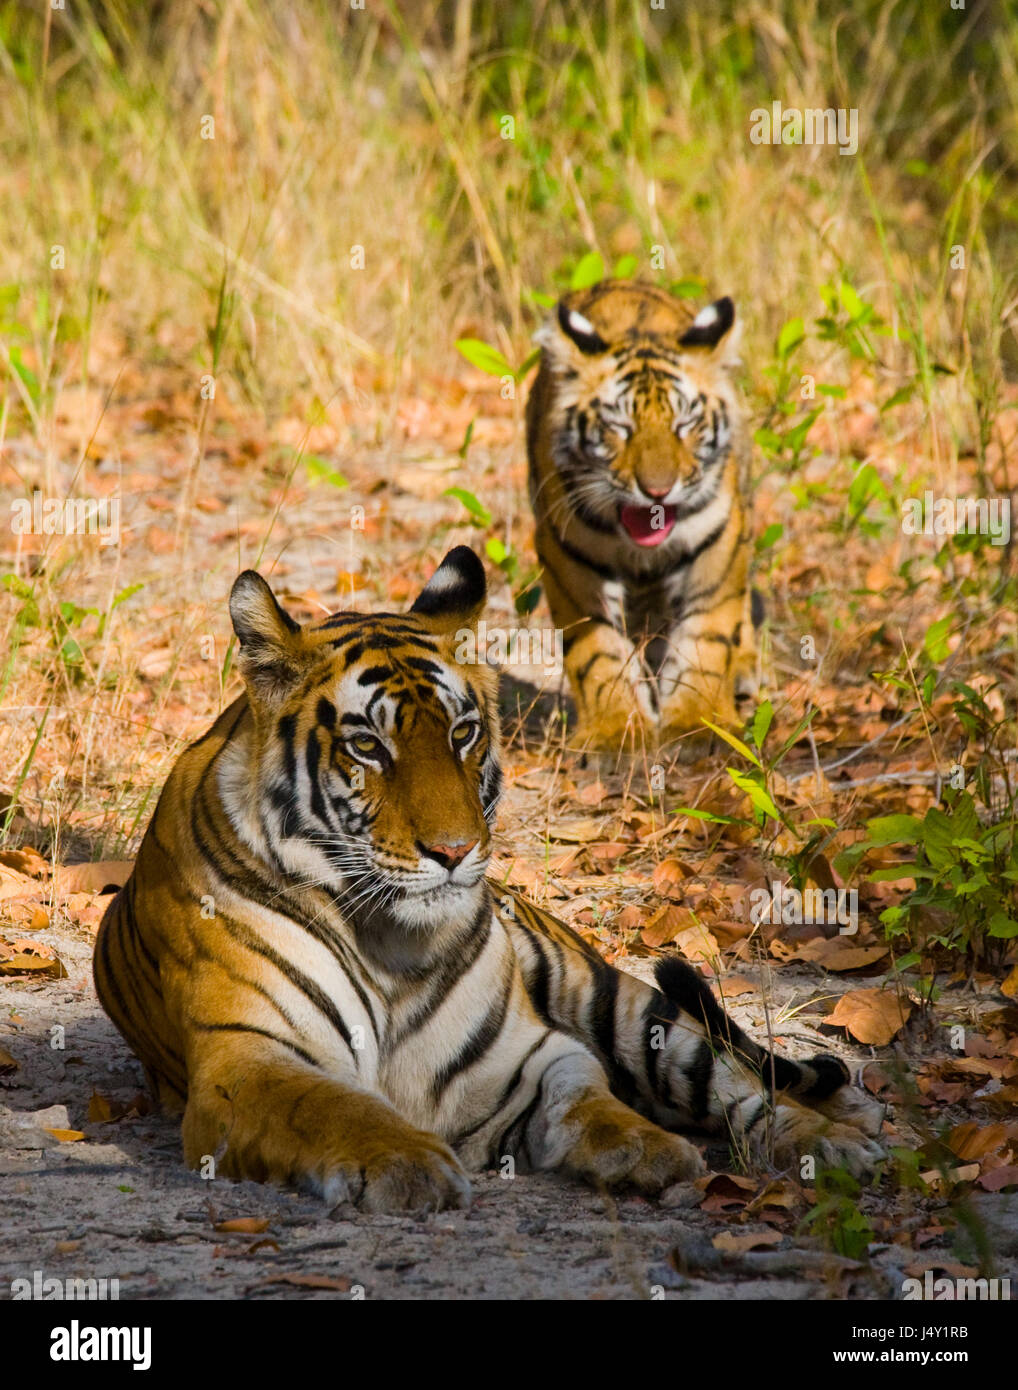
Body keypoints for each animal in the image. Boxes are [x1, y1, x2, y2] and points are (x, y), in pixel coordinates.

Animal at [94, 547, 883, 1212]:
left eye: (463, 733)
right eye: (367, 745)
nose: (454, 850)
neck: (391, 945)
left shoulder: (530, 1053)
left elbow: (589, 1100)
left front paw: (645, 1147)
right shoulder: (248, 1055)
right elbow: (334, 1106)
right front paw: (409, 1163)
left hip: (625, 1006)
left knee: (742, 1084)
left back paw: (838, 1143)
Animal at [526, 278, 757, 751]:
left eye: (684, 425)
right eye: (620, 427)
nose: (657, 490)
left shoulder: (720, 537)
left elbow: (707, 634)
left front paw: (697, 722)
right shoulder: (567, 551)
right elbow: (596, 650)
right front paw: (615, 732)